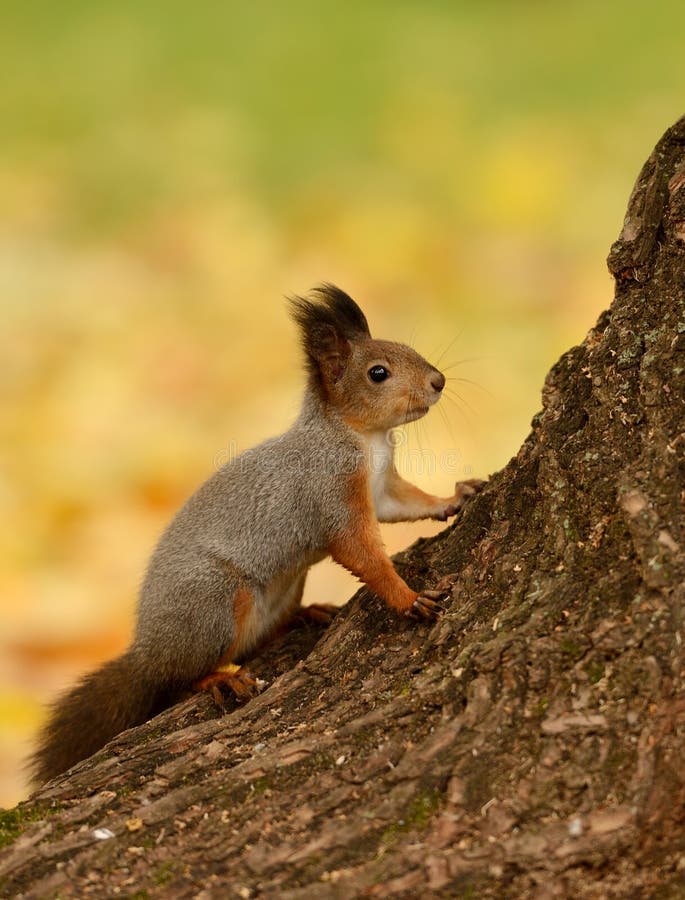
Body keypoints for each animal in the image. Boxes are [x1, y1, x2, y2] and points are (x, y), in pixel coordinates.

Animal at [29, 284, 484, 786]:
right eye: (377, 373)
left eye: (405, 347)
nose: (439, 381)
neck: (366, 439)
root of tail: (148, 652)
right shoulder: (331, 493)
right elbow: (361, 553)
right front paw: (408, 598)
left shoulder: (381, 490)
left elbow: (407, 504)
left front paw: (453, 498)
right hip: (214, 603)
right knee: (179, 677)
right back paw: (220, 678)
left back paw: (304, 616)